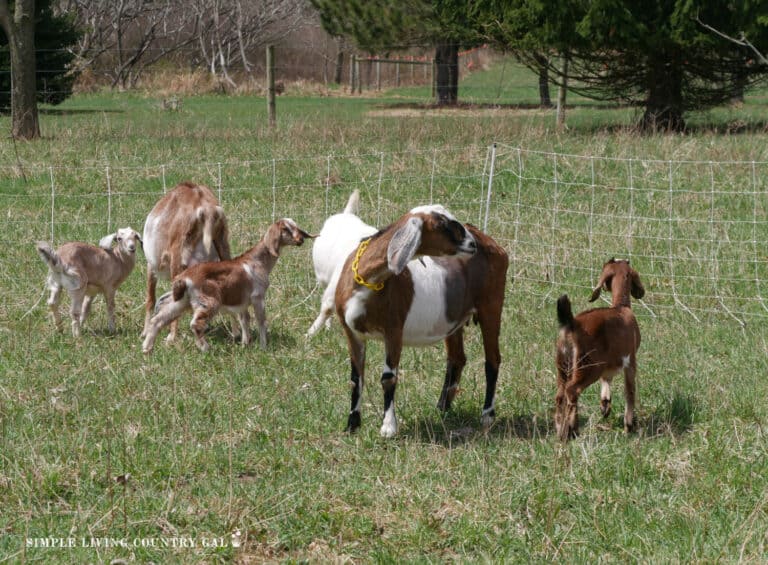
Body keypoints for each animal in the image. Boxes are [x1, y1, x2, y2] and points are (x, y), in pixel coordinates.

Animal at [142, 181, 231, 341]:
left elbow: (150, 299)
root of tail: (205, 209)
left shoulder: (151, 267)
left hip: (177, 263)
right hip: (224, 250)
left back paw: (171, 338)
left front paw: (145, 332)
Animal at [142, 218, 313, 353]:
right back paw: (206, 348)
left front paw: (245, 344)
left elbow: (245, 320)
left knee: (159, 319)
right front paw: (264, 347)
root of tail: (184, 278)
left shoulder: (242, 301)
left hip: (182, 301)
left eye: (296, 227)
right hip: (208, 301)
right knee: (195, 324)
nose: (300, 240)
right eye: (285, 229)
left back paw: (147, 348)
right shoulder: (258, 296)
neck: (257, 261)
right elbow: (261, 321)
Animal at [335, 205, 509, 438]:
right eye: (442, 224)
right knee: (457, 358)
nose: (471, 244)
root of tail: (494, 244)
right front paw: (351, 426)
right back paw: (442, 408)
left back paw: (487, 415)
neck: (366, 280)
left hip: (491, 305)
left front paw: (388, 427)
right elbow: (355, 379)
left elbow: (388, 378)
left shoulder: (394, 330)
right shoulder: (351, 332)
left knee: (492, 360)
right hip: (452, 320)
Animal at [555, 258, 645, 441]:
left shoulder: (609, 363)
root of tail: (572, 323)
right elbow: (630, 391)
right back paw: (572, 430)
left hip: (563, 367)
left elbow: (607, 380)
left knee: (560, 395)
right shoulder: (630, 360)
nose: (641, 292)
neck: (621, 307)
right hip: (587, 366)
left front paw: (605, 406)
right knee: (572, 391)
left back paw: (561, 431)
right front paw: (628, 426)